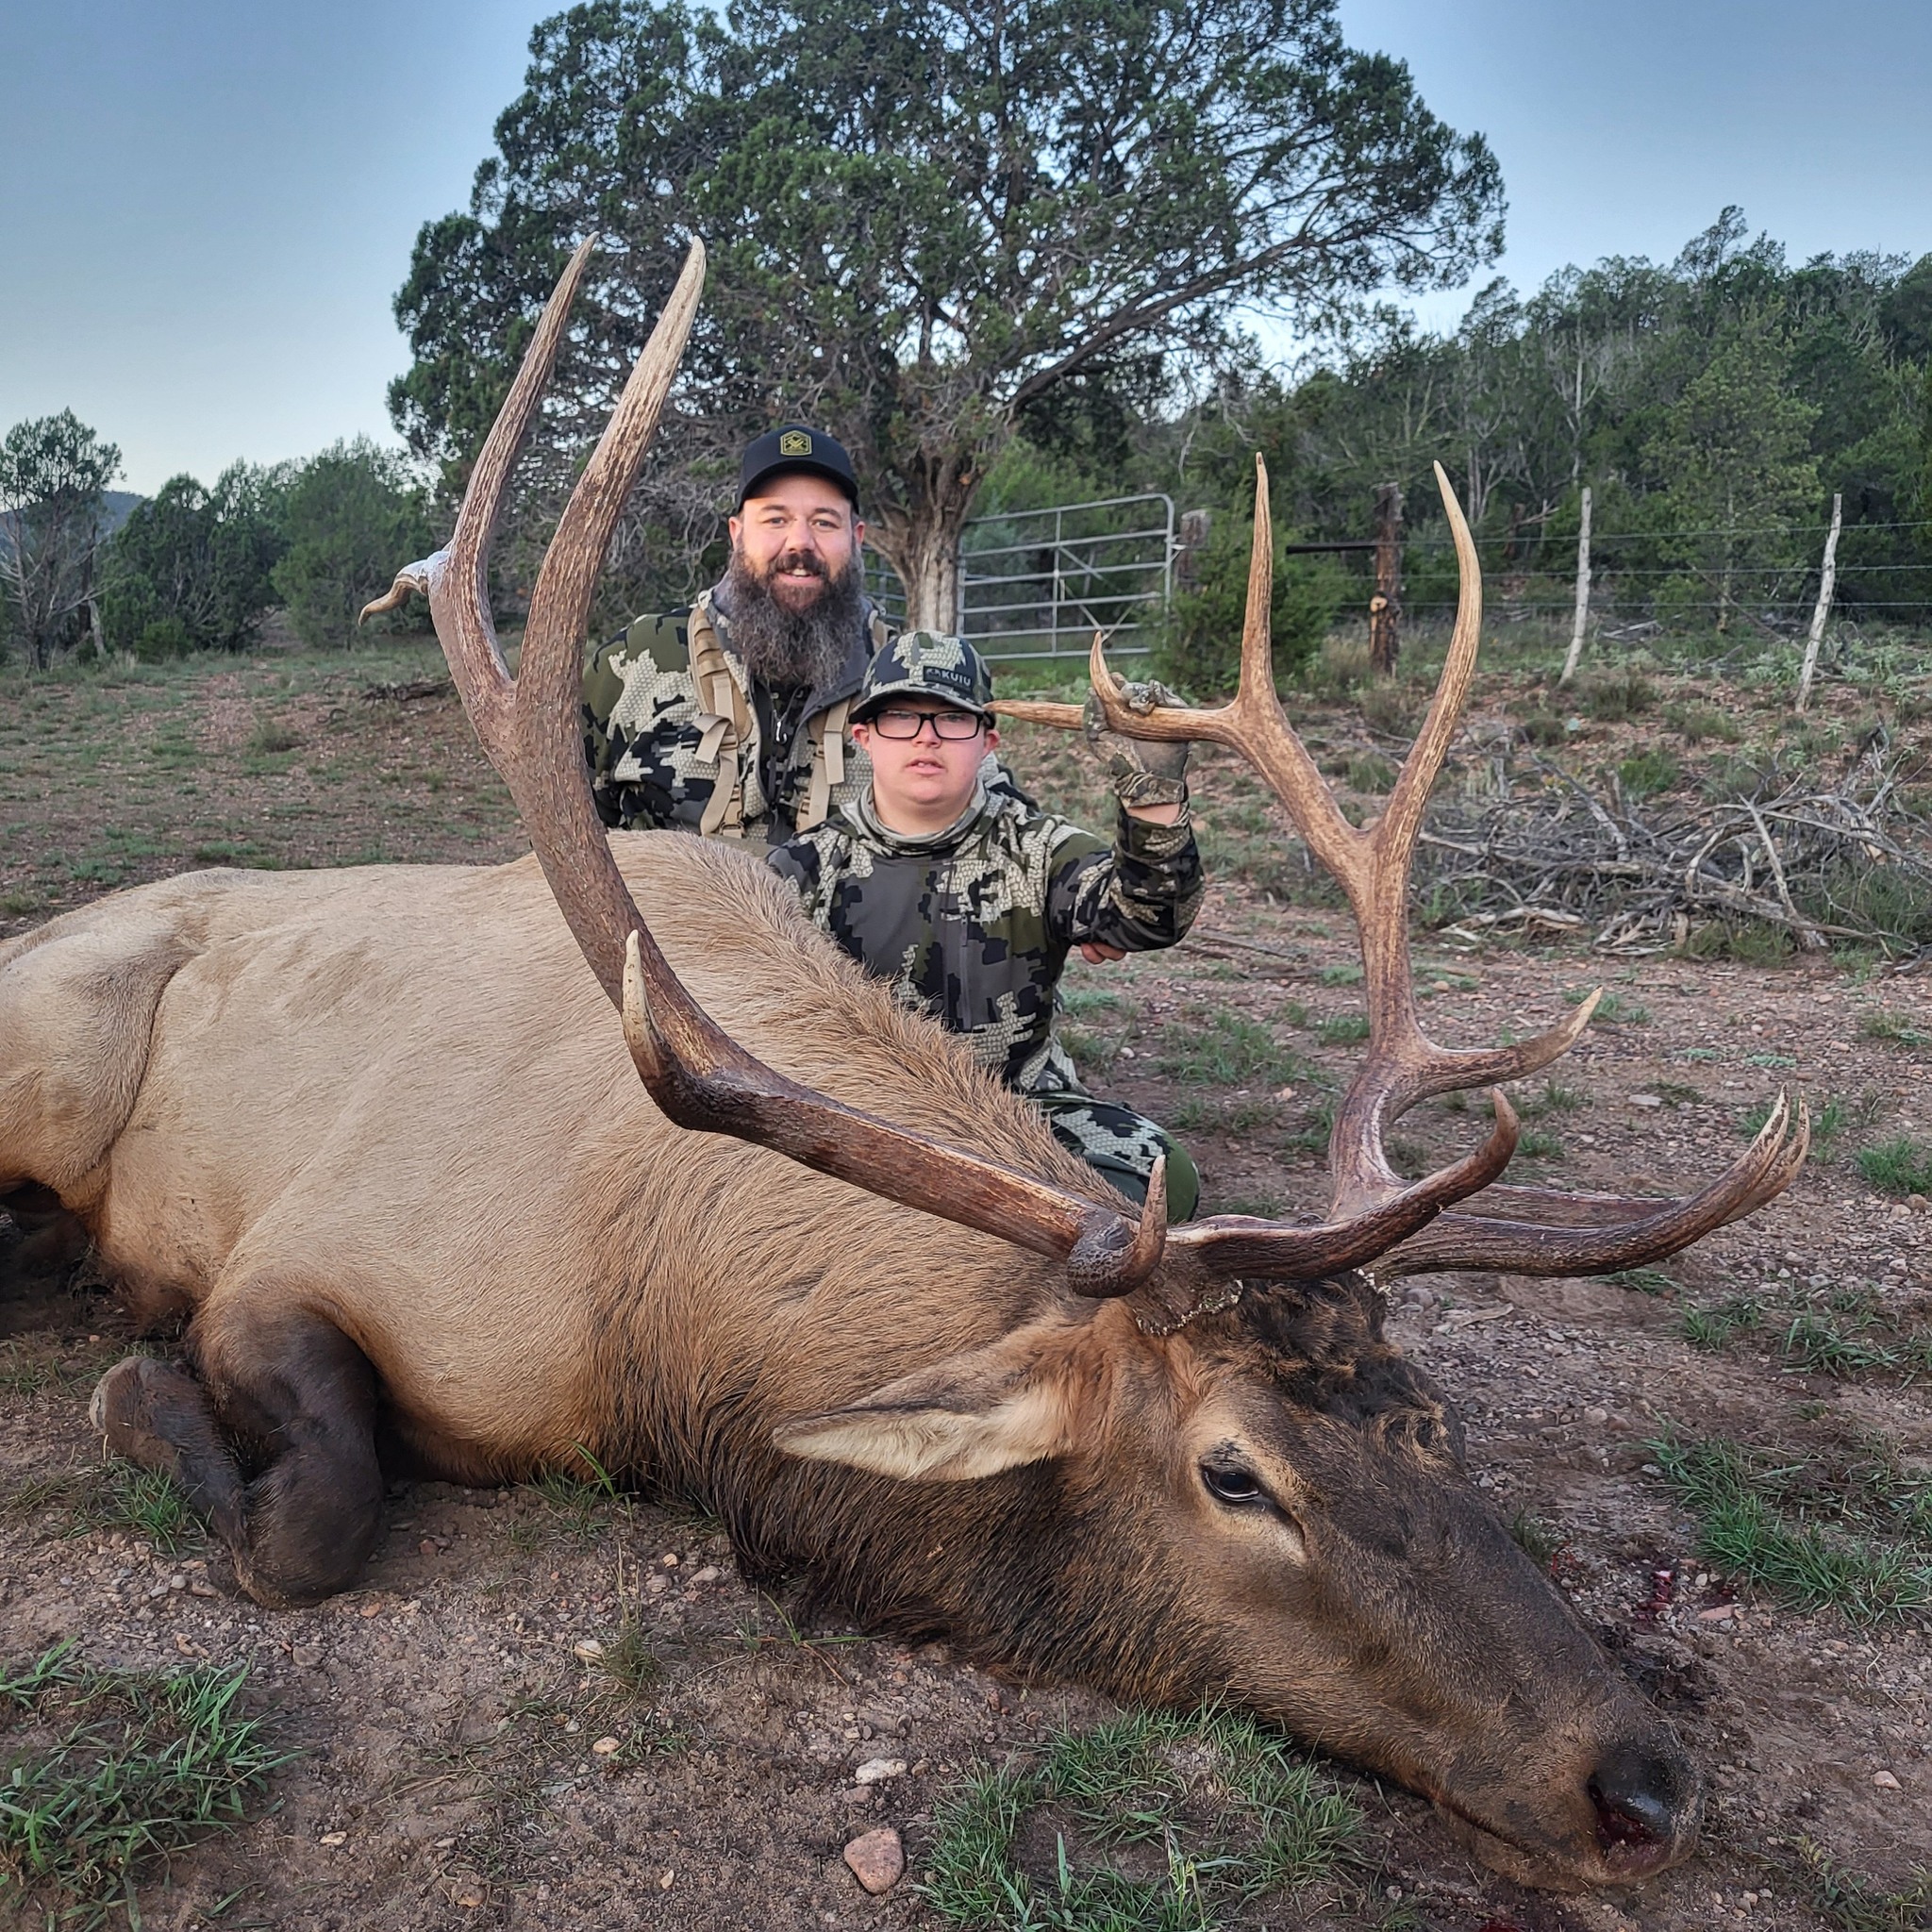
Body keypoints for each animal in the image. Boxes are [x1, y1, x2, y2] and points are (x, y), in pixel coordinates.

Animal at [0, 238, 1807, 1894]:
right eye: (1236, 1472)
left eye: (1430, 1413)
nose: (1643, 1786)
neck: (647, 1326)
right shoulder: (301, 1259)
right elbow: (310, 1513)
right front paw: (136, 1389)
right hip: (59, 1050)